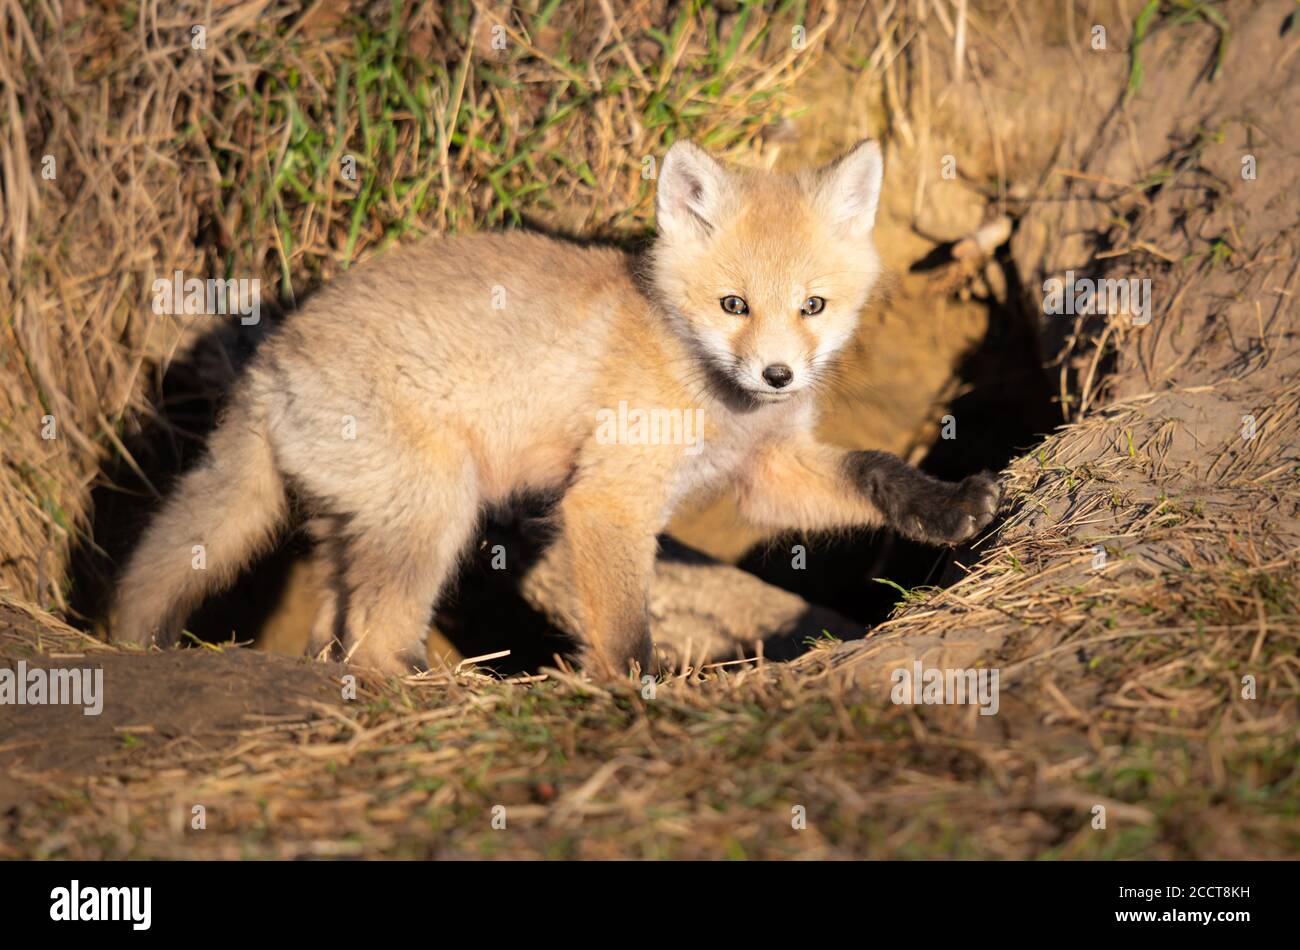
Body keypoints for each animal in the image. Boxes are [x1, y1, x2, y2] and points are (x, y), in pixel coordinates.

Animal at [110, 139, 1000, 678]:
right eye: (733, 305)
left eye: (813, 306)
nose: (778, 375)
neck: (715, 399)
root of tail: (271, 361)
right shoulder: (608, 501)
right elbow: (626, 631)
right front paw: (634, 697)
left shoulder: (767, 473)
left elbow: (871, 471)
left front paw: (946, 505)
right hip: (434, 511)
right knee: (371, 642)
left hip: (357, 526)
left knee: (334, 635)